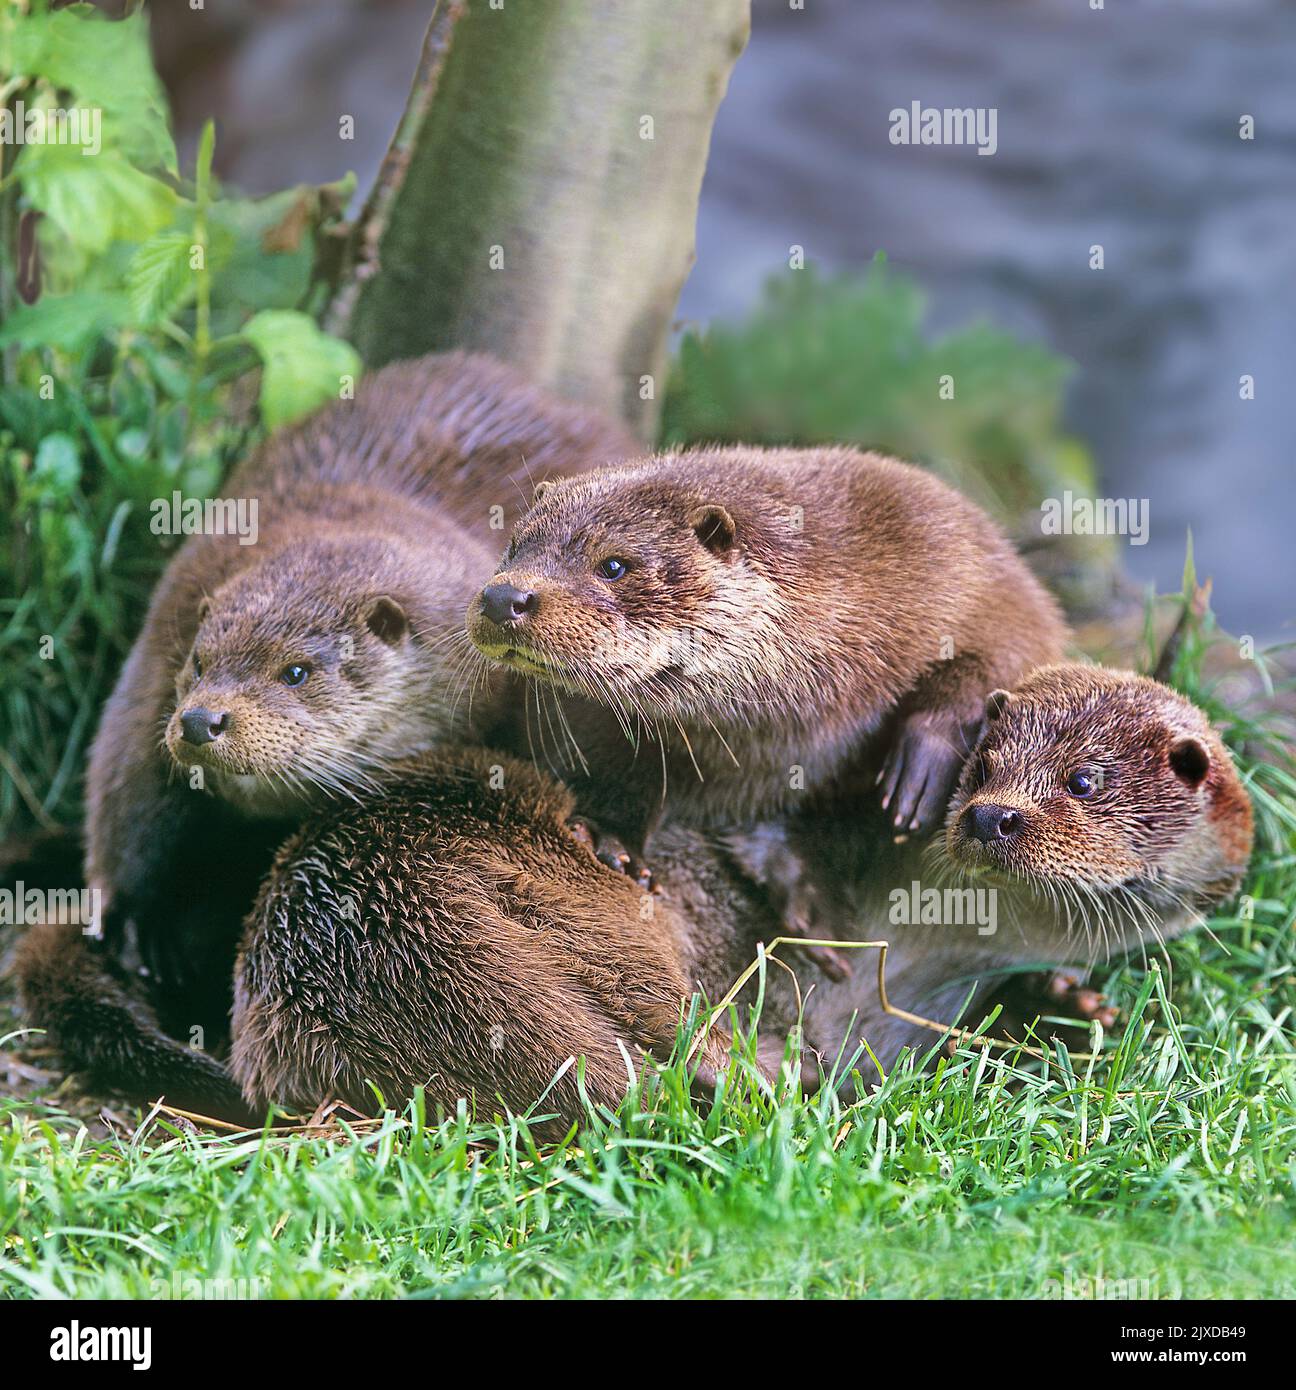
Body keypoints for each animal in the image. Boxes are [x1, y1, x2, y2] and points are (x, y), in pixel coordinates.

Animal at [14, 352, 635, 1117]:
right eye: (201, 662)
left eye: (297, 671)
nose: (201, 719)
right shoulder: (164, 638)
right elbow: (127, 782)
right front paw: (136, 921)